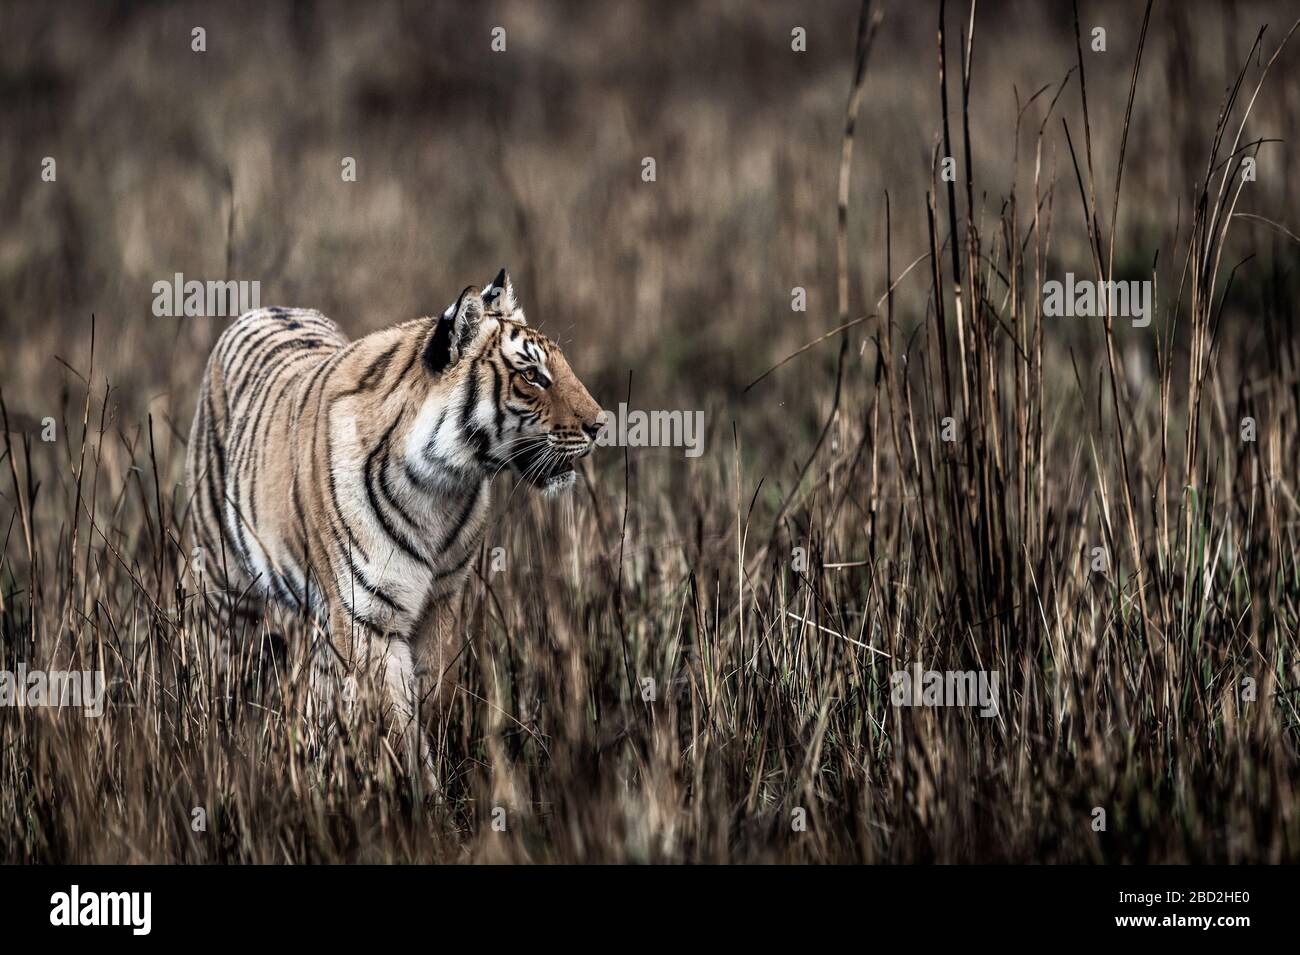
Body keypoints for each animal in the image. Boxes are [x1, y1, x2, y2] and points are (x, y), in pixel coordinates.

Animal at [184, 268, 602, 787]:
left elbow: (429, 697)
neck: (444, 487)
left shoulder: (440, 605)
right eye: (531, 376)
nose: (601, 424)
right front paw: (422, 798)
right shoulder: (369, 621)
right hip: (223, 584)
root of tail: (267, 307)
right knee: (222, 665)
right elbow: (399, 725)